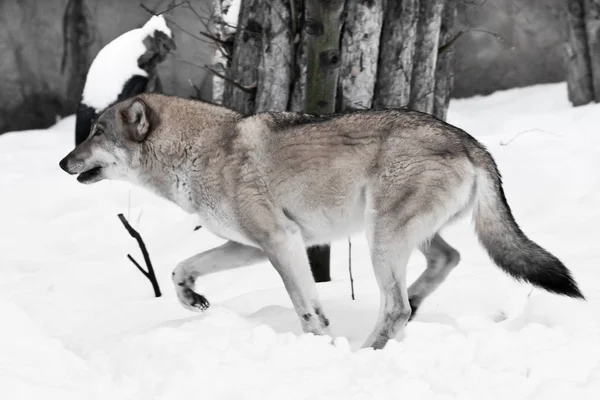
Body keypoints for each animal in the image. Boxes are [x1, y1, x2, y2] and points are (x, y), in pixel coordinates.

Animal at [58, 94, 584, 350]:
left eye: (96, 132)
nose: (63, 162)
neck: (198, 151)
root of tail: (471, 142)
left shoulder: (280, 241)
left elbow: (305, 307)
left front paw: (322, 342)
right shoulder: (250, 247)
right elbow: (179, 268)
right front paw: (192, 300)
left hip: (379, 237)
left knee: (395, 306)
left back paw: (366, 353)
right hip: (398, 235)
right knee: (443, 263)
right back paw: (411, 308)